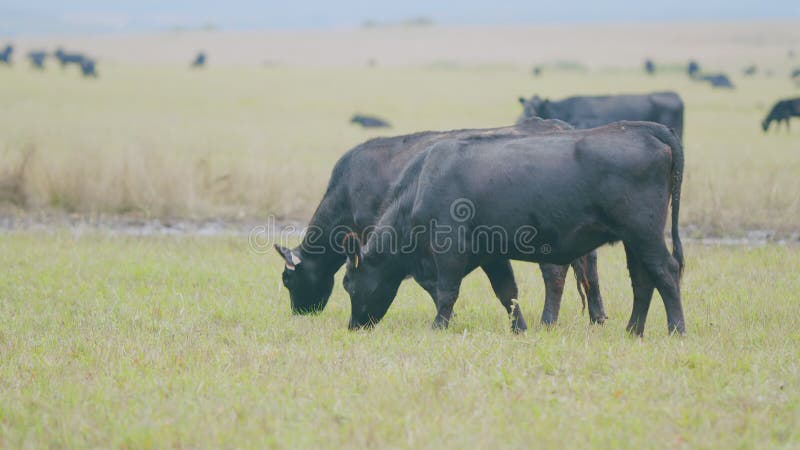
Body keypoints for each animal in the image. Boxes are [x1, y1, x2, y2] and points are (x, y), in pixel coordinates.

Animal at [274, 117, 609, 333]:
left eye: (288, 280)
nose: (299, 313)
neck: (348, 189)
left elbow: (434, 285)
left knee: (555, 275)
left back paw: (548, 321)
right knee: (590, 271)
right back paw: (598, 318)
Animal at [342, 121, 685, 337]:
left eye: (349, 284)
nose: (353, 326)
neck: (422, 184)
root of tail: (645, 128)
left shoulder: (449, 250)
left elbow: (447, 292)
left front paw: (438, 327)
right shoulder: (492, 255)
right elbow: (506, 292)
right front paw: (519, 328)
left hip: (645, 234)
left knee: (666, 271)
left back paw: (676, 329)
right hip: (633, 240)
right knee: (643, 279)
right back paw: (633, 331)